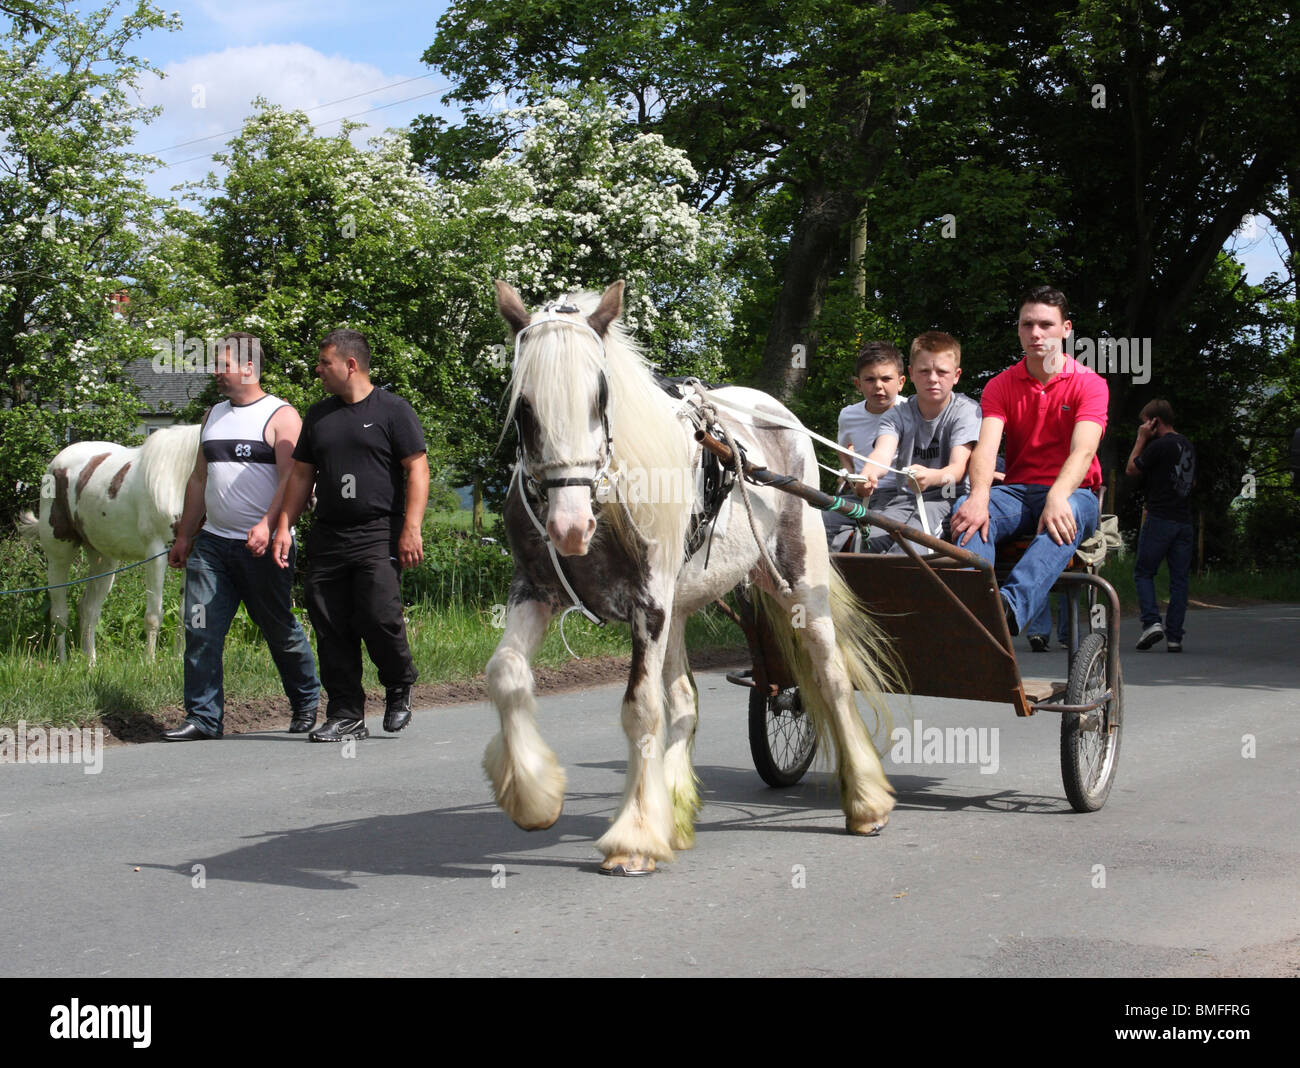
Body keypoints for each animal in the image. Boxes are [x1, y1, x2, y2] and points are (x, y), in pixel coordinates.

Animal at [19, 424, 201, 665]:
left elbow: (185, 612)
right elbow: (153, 614)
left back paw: (91, 663)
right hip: (58, 554)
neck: (179, 477)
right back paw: (64, 662)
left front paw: (179, 659)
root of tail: (56, 464)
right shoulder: (156, 552)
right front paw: (149, 663)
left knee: (88, 609)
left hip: (103, 560)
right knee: (59, 614)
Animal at [486, 279, 899, 875]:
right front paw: (534, 796)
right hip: (681, 607)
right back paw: (675, 810)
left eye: (600, 398)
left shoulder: (649, 604)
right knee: (685, 701)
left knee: (830, 676)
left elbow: (640, 708)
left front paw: (634, 837)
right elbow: (506, 674)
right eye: (524, 407)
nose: (569, 526)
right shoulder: (536, 592)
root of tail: (774, 412)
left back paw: (866, 801)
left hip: (798, 581)